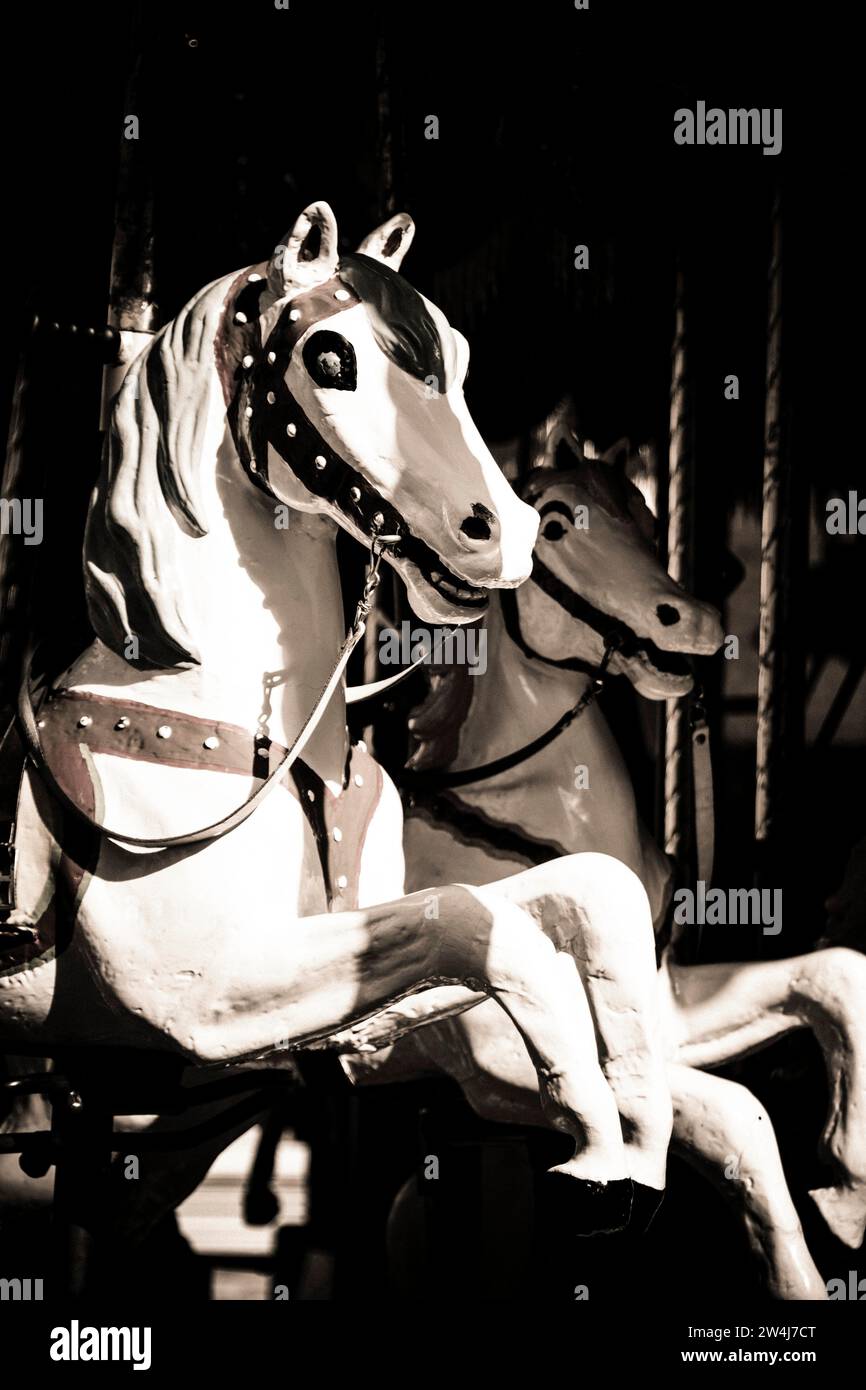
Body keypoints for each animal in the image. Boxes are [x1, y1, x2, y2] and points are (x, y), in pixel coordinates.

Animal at [0, 201, 673, 1237]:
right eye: (328, 357)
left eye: (460, 355)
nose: (505, 532)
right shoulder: (198, 995)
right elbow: (483, 925)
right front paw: (597, 1153)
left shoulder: (348, 985)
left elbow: (579, 895)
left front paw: (638, 1134)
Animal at [335, 437, 866, 1298]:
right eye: (554, 524)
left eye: (649, 517)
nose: (695, 620)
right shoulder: (496, 1061)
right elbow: (738, 1117)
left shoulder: (664, 1009)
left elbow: (837, 976)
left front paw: (848, 1193)